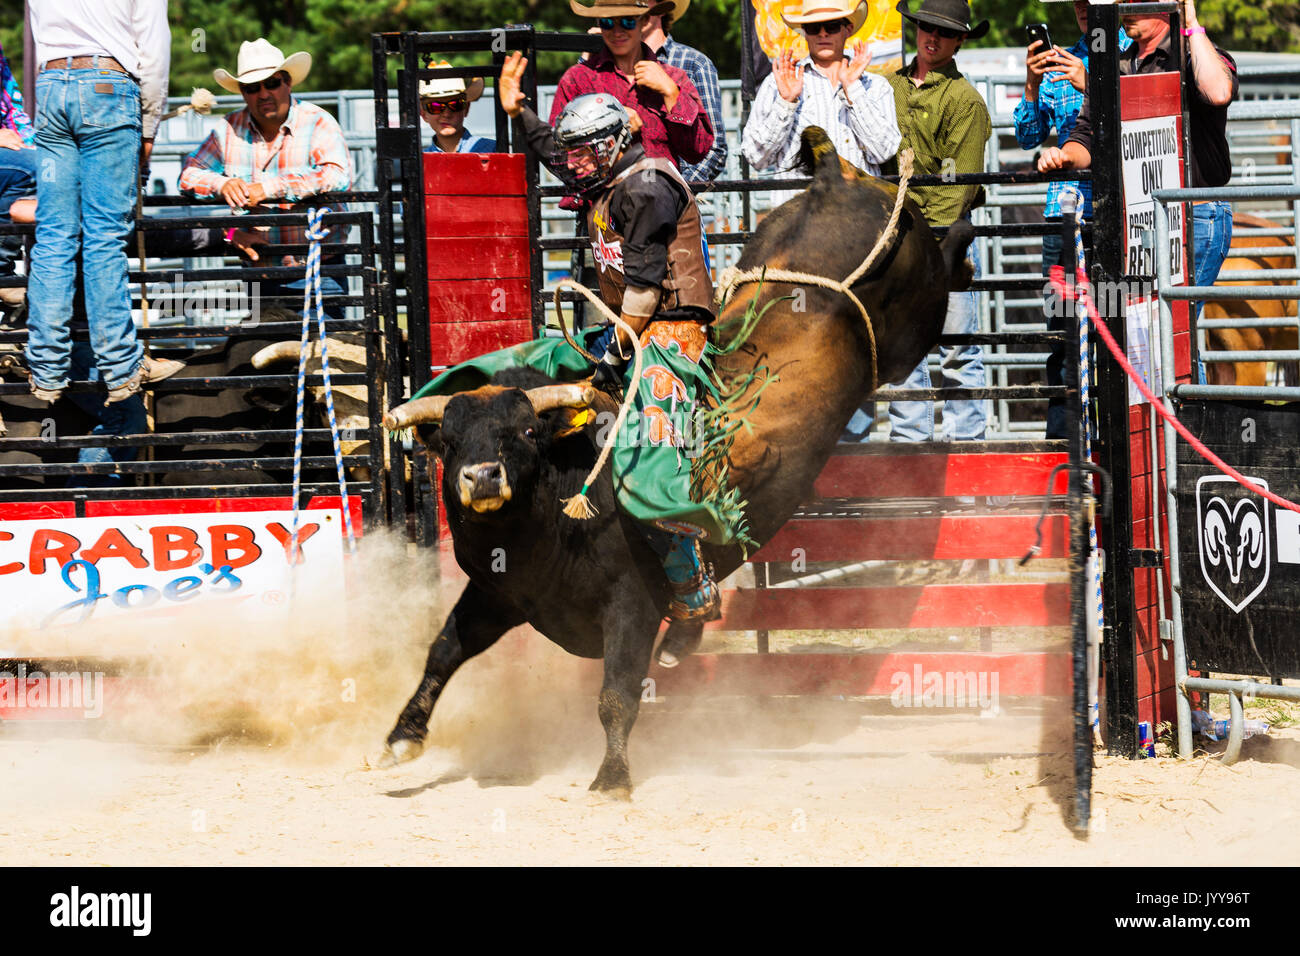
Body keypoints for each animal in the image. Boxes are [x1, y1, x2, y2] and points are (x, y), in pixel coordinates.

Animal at [379, 130, 976, 795]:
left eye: (527, 432)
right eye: (450, 441)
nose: (482, 477)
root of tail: (835, 178)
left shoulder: (632, 603)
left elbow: (616, 693)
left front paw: (612, 776)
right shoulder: (497, 593)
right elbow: (444, 650)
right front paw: (402, 737)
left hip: (917, 313)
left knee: (946, 257)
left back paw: (968, 213)